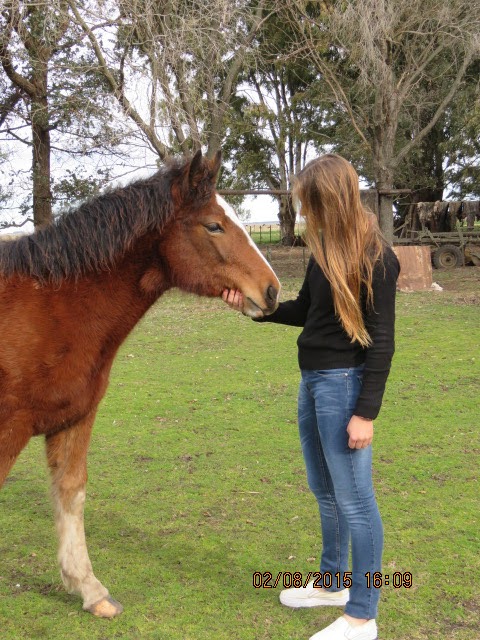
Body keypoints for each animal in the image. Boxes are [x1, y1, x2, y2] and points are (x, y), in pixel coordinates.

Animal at [0, 150, 280, 618]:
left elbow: (71, 493)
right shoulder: (10, 428)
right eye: (213, 225)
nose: (272, 291)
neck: (52, 308)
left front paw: (90, 589)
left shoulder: (75, 418)